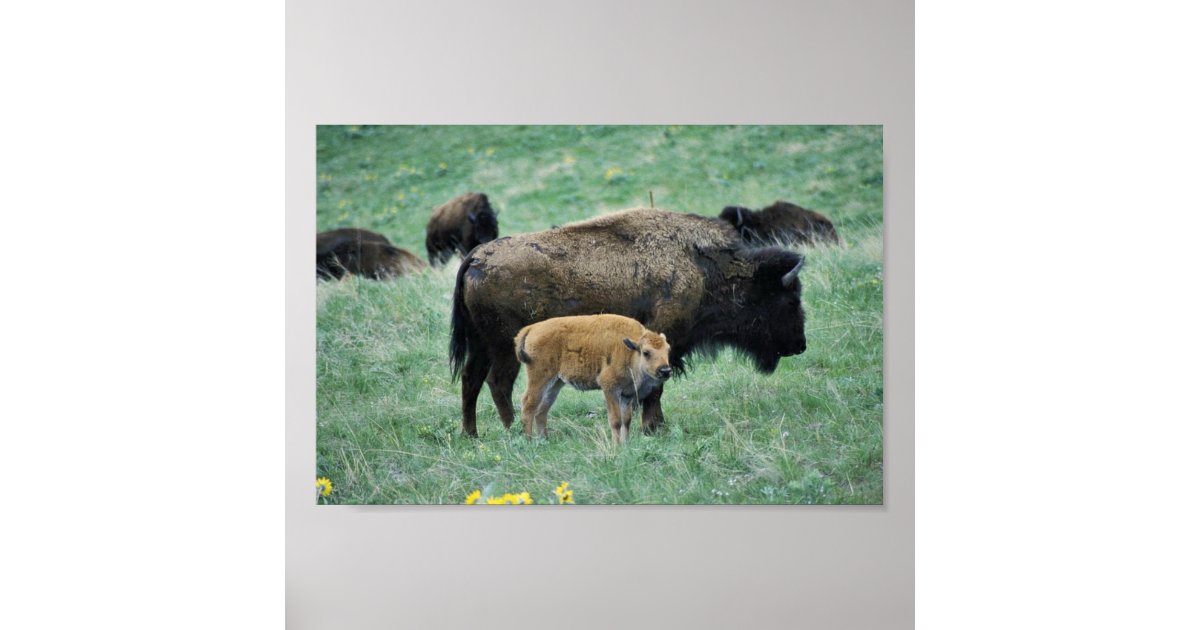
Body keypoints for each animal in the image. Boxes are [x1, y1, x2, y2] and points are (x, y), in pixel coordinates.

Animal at [515, 314, 672, 444]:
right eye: (646, 352)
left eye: (668, 350)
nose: (665, 370)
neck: (630, 351)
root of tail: (532, 328)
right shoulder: (609, 388)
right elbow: (616, 420)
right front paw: (616, 446)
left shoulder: (627, 394)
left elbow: (626, 420)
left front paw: (626, 444)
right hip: (539, 378)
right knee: (528, 404)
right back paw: (529, 441)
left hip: (555, 384)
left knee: (541, 410)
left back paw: (545, 440)